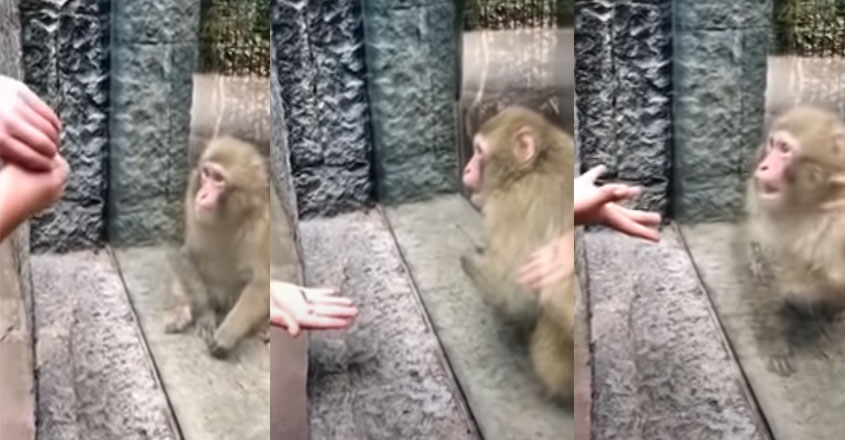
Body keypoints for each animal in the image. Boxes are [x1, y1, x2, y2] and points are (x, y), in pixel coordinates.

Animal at [165, 135, 271, 359]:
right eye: (206, 173)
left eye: (219, 179)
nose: (203, 195)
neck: (227, 217)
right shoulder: (191, 205)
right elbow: (187, 256)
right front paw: (205, 315)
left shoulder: (260, 227)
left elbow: (262, 281)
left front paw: (228, 332)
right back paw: (182, 310)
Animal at [460, 106, 575, 402]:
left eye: (479, 151)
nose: (466, 168)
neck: (531, 169)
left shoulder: (513, 207)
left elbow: (515, 293)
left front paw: (471, 263)